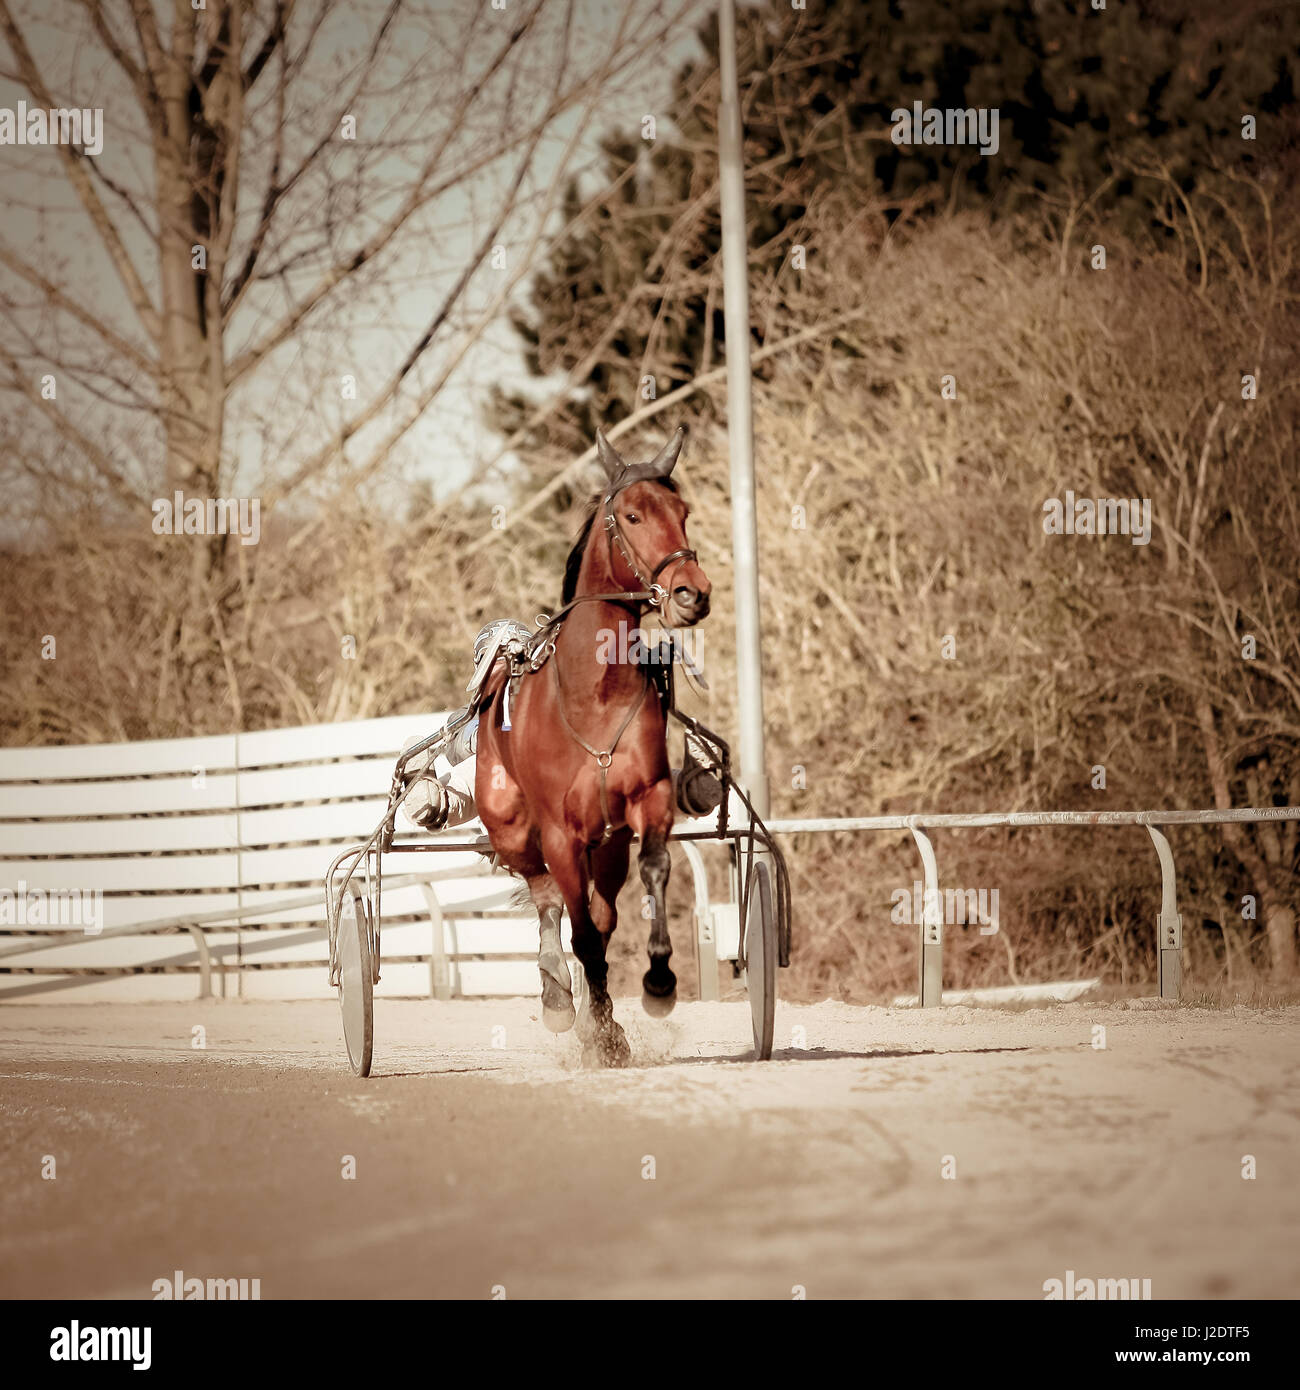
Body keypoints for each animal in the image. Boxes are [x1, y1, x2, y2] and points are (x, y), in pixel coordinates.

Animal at [475, 426, 712, 1066]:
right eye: (632, 515)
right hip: (512, 829)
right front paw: (597, 1031)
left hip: (605, 849)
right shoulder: (560, 832)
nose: (693, 593)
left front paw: (656, 985)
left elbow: (652, 872)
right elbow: (575, 927)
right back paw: (560, 997)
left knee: (598, 914)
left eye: (683, 512)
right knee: (548, 900)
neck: (595, 694)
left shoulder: (647, 801)